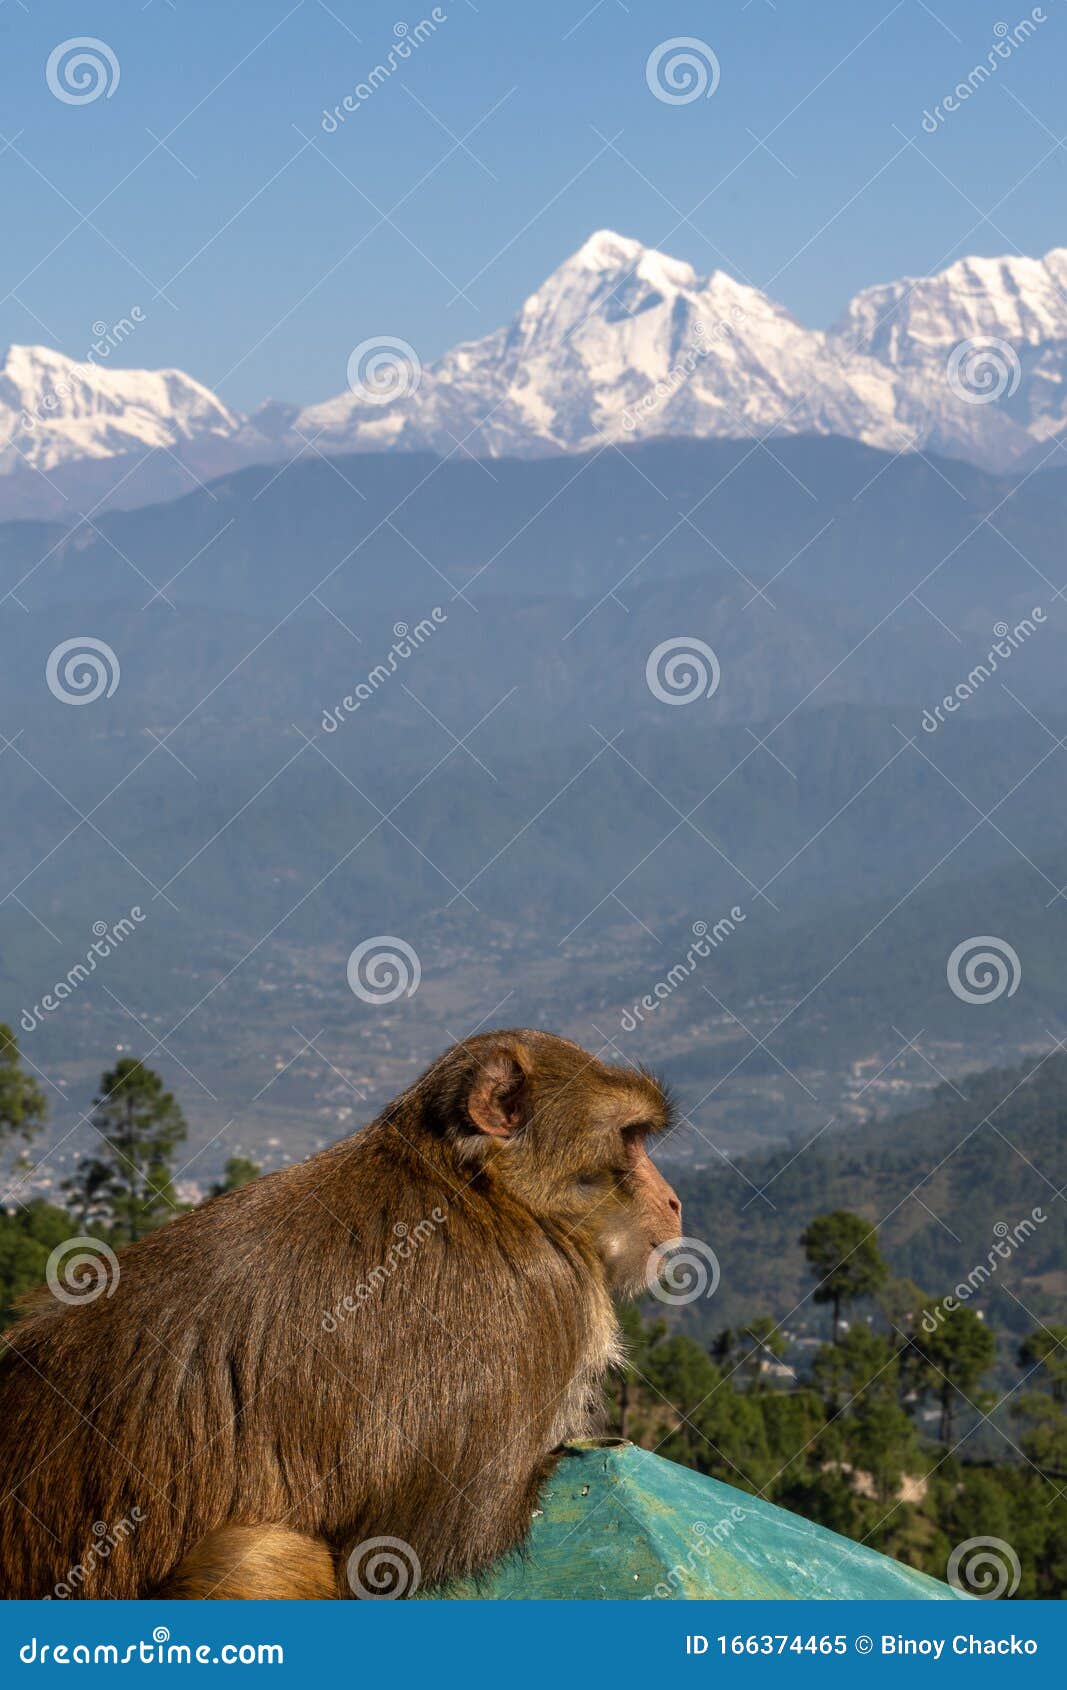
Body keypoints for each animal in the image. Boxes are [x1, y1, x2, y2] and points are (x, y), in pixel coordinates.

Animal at [0, 1029, 682, 1599]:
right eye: (629, 1139)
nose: (673, 1200)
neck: (481, 1187)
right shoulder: (546, 1299)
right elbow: (416, 1549)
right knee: (260, 1557)